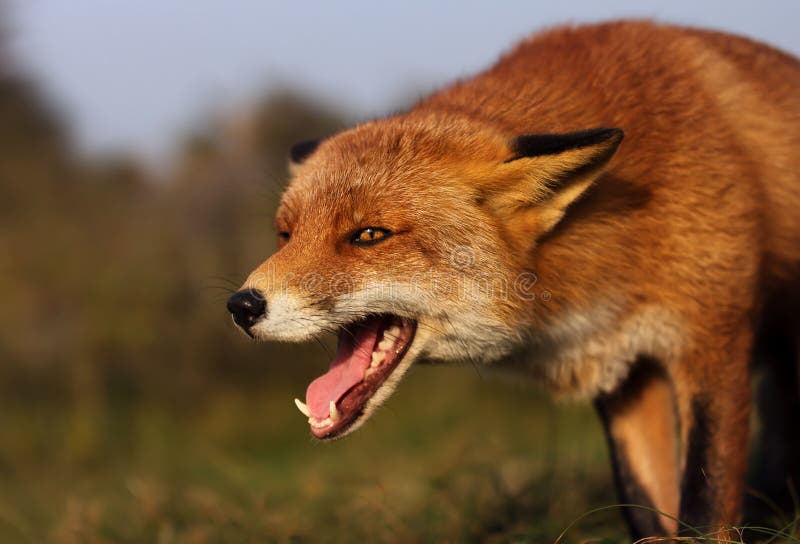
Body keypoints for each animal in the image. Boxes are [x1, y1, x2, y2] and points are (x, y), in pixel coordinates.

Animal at [226, 20, 800, 539]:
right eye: (286, 234)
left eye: (368, 235)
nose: (241, 305)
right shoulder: (622, 373)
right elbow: (648, 514)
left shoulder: (712, 343)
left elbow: (703, 509)